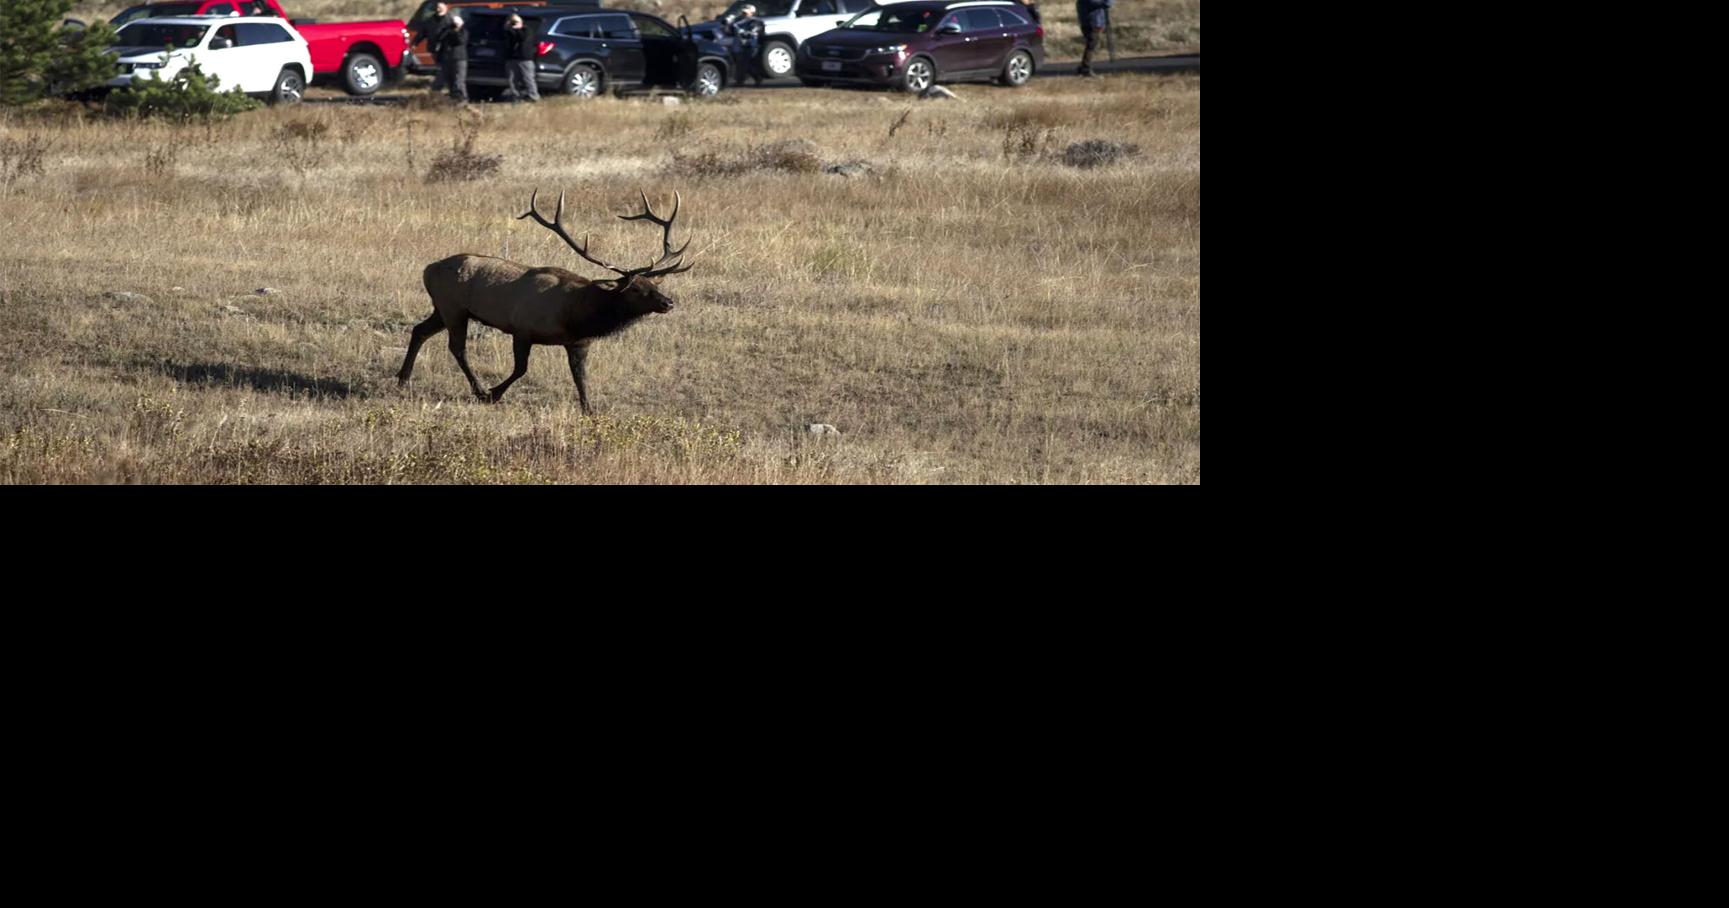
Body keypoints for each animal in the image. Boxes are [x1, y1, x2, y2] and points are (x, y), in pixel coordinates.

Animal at [398, 188, 694, 412]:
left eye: (653, 284)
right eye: (634, 288)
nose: (668, 302)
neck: (576, 315)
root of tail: (427, 269)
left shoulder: (578, 343)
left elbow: (581, 378)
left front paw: (589, 409)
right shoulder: (522, 329)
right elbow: (521, 369)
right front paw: (494, 394)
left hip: (442, 309)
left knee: (420, 330)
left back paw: (403, 378)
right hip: (454, 308)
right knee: (457, 348)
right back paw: (478, 389)